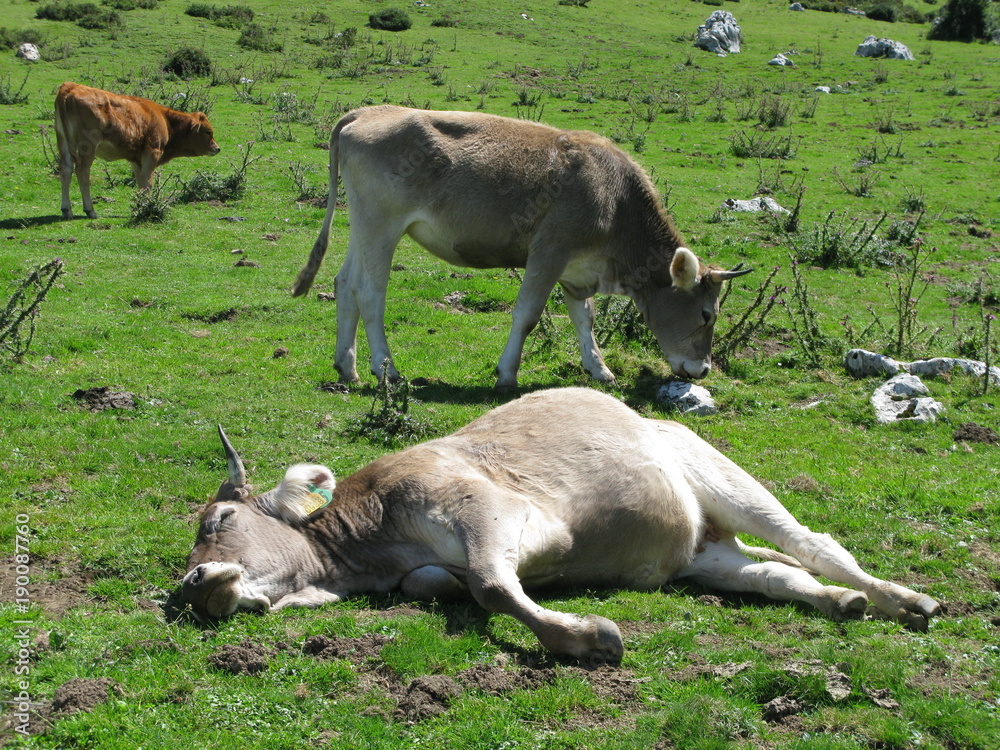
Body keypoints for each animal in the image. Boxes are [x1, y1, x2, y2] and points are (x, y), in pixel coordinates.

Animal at [54, 82, 221, 219]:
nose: (217, 148)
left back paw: (66, 210)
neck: (165, 121)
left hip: (63, 142)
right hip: (88, 145)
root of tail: (70, 87)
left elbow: (141, 182)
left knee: (65, 170)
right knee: (82, 171)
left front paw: (141, 204)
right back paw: (90, 210)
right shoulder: (151, 153)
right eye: (208, 131)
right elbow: (147, 183)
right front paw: (147, 205)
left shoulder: (136, 160)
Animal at [181, 388, 940, 663]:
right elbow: (454, 586)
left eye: (219, 517)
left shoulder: (489, 510)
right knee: (774, 574)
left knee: (812, 542)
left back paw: (906, 600)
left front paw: (587, 637)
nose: (188, 585)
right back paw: (840, 601)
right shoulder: (430, 567)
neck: (375, 542)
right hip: (702, 553)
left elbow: (493, 586)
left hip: (716, 472)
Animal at [292, 106, 752, 390]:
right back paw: (386, 370)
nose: (703, 370)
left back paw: (347, 367)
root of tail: (368, 111)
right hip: (381, 224)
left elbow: (584, 320)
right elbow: (528, 314)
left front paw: (600, 369)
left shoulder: (577, 269)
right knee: (369, 292)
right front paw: (507, 374)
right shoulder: (550, 250)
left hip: (363, 226)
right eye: (707, 314)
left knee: (345, 282)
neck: (616, 201)